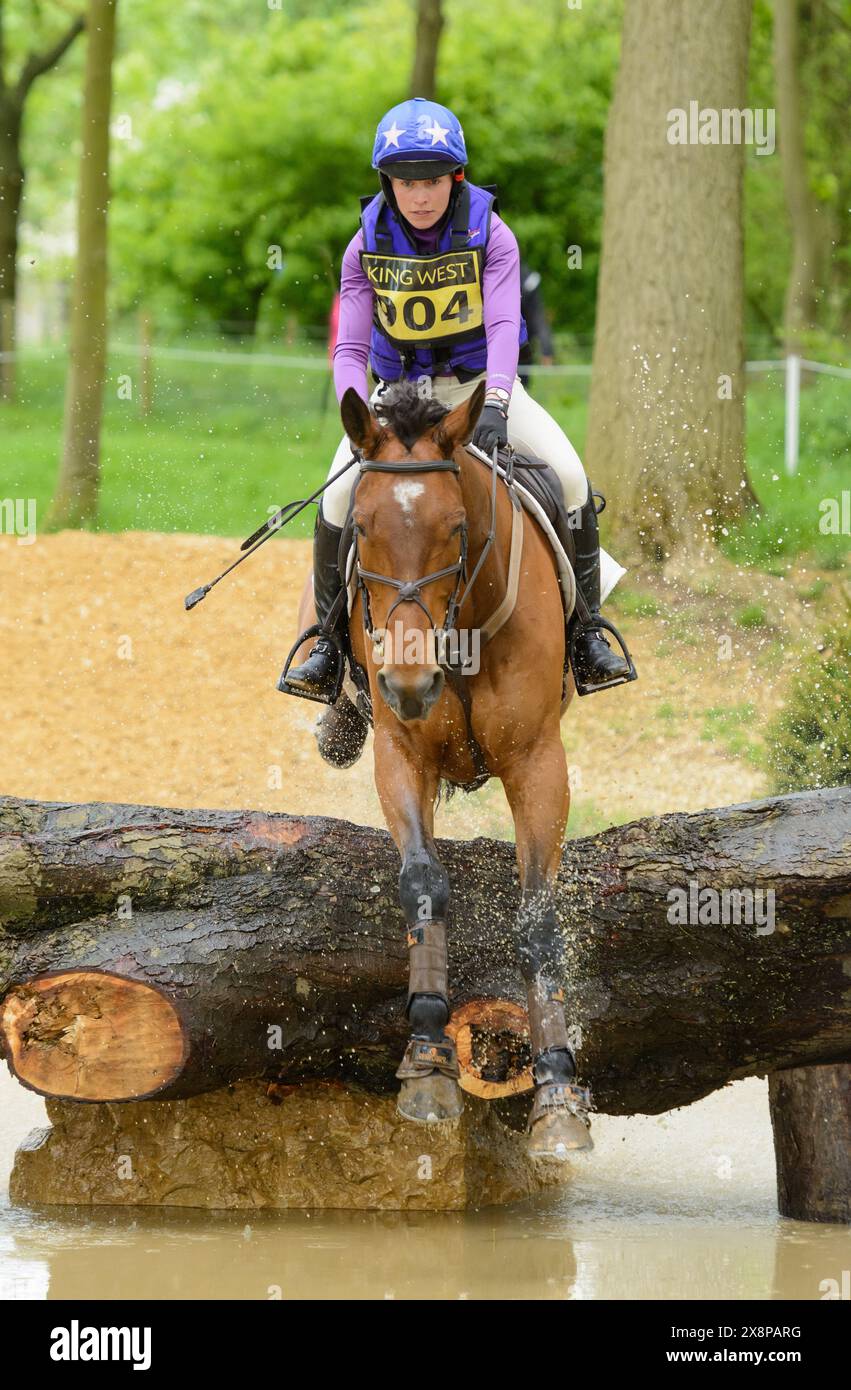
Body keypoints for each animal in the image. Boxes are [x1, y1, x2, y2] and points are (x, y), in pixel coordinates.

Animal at [291, 379, 592, 1158]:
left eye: (456, 528)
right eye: (362, 530)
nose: (408, 683)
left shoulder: (538, 762)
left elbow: (537, 920)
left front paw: (557, 1091)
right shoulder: (403, 754)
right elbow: (423, 884)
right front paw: (427, 1059)